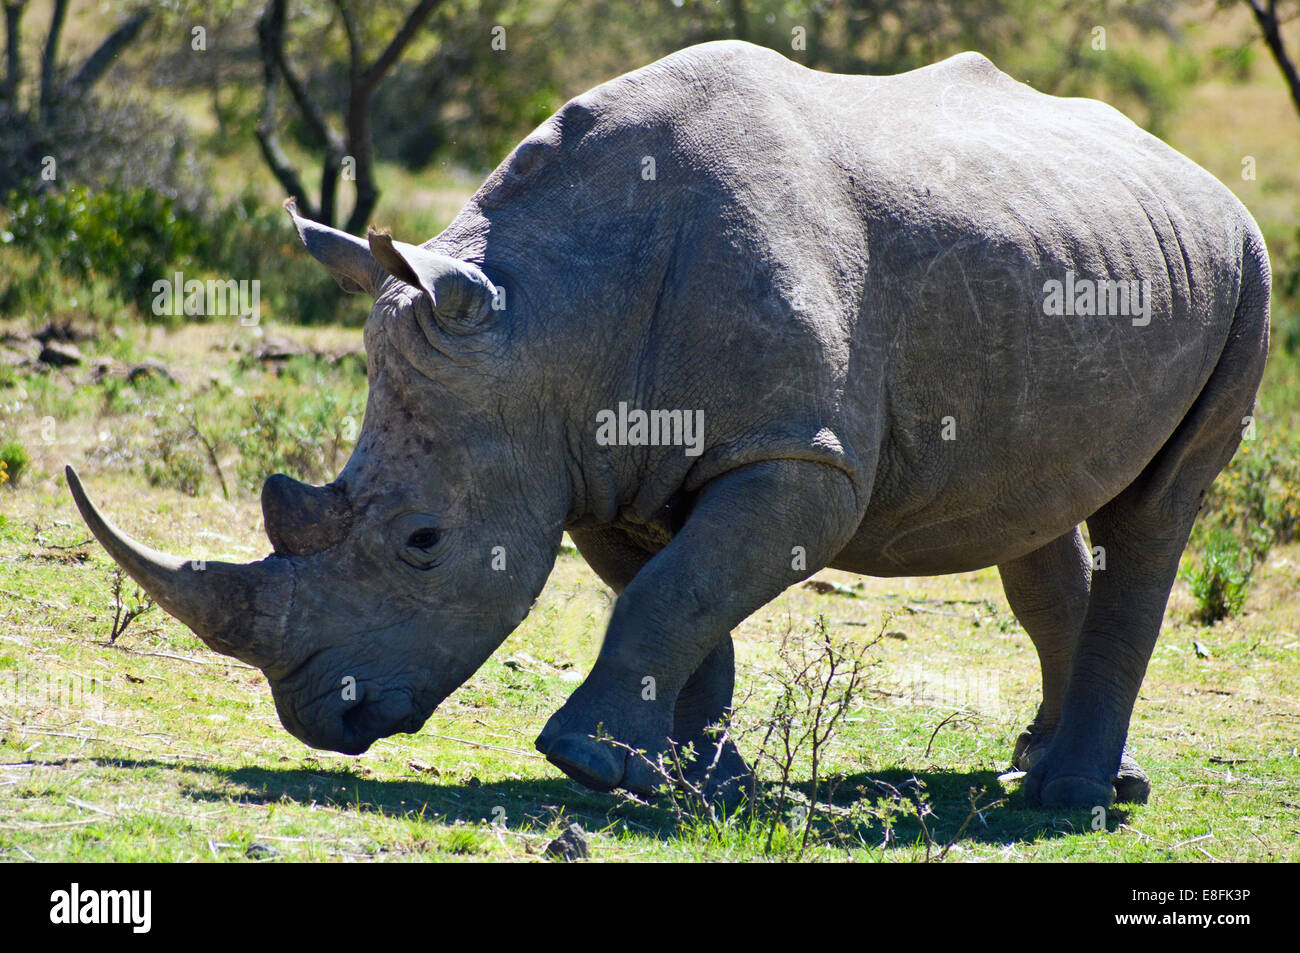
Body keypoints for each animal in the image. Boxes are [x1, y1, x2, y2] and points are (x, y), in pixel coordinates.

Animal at [67, 40, 1269, 810]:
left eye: (422, 543)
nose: (318, 715)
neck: (550, 311)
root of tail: (1197, 174)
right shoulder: (593, 454)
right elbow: (678, 601)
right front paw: (696, 778)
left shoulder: (794, 452)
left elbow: (677, 590)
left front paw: (595, 766)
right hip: (1079, 255)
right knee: (1036, 512)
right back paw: (1041, 770)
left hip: (1247, 267)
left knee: (1157, 510)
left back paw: (1070, 799)